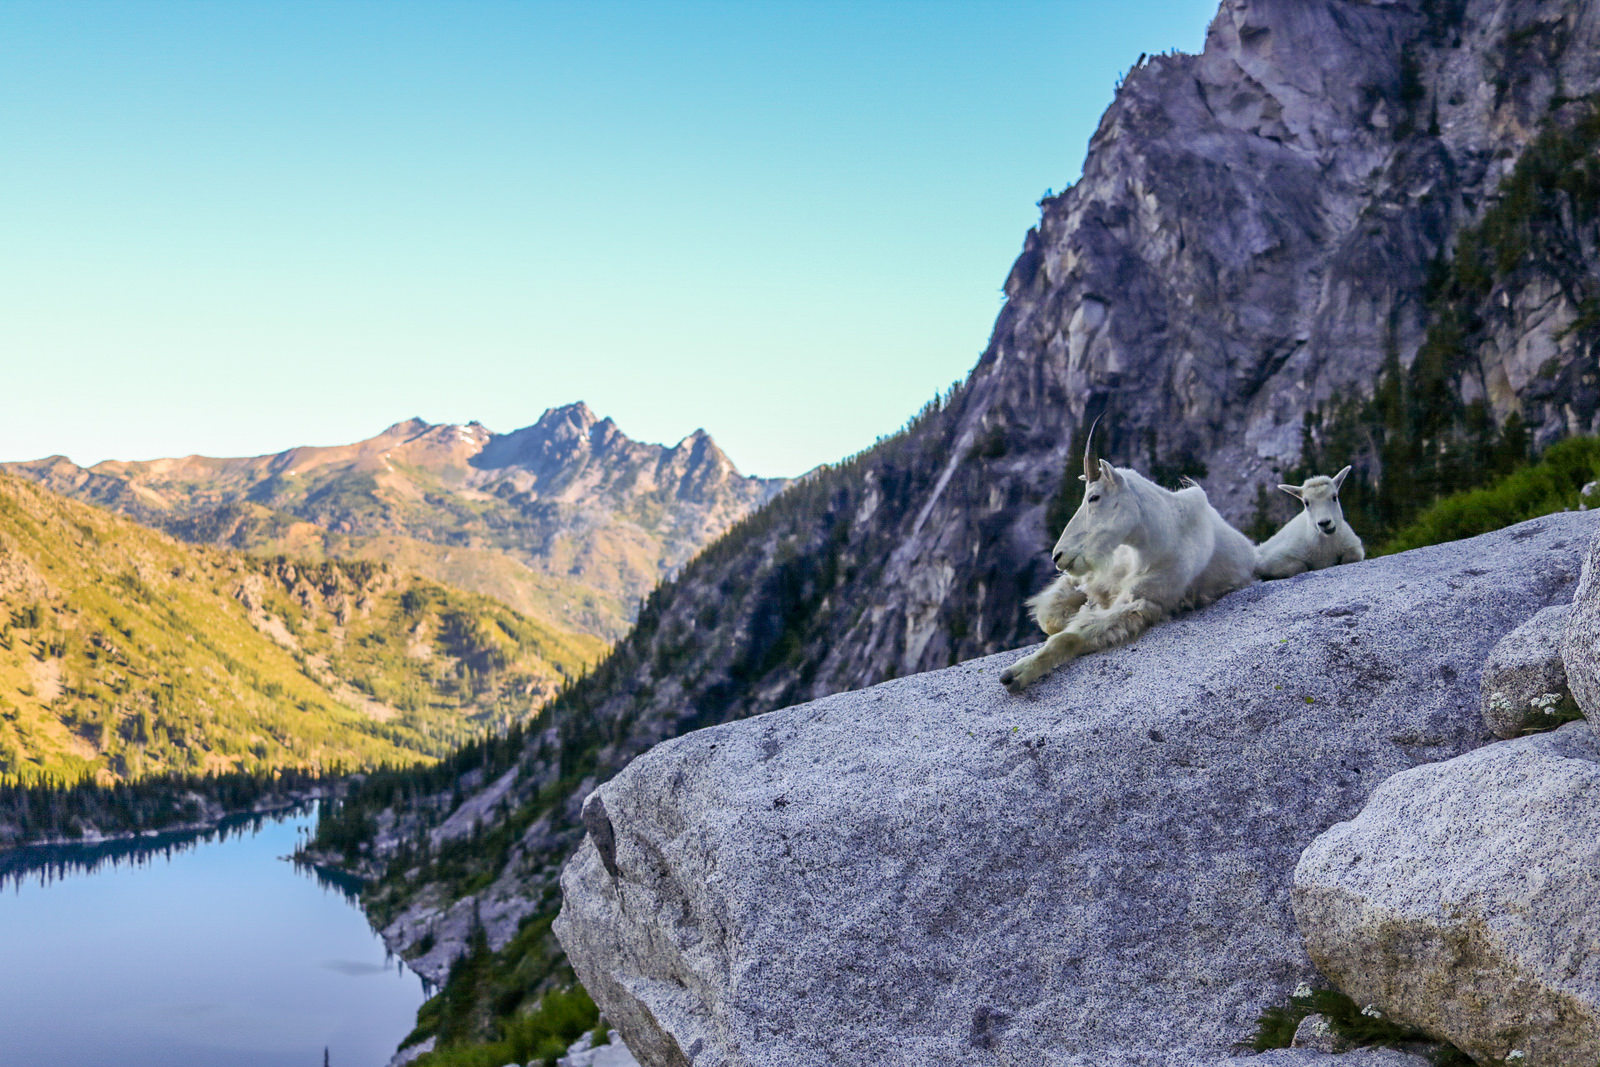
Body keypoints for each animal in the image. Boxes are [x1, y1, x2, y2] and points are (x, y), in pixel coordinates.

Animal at [1000, 423, 1256, 692]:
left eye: (1094, 497)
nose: (1058, 556)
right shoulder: (1092, 579)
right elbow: (1049, 617)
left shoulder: (1140, 604)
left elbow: (1070, 635)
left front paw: (1015, 673)